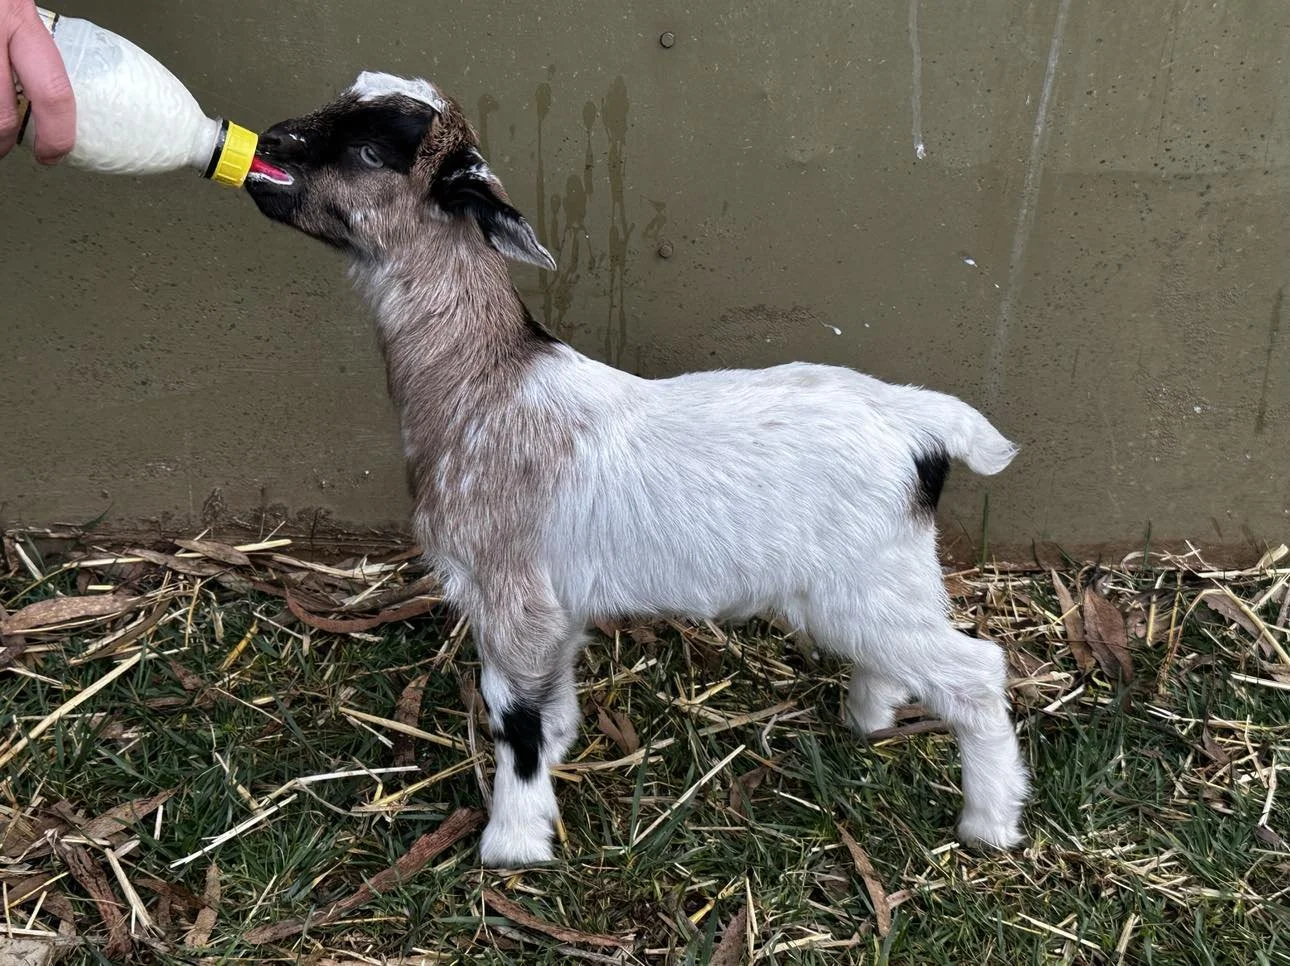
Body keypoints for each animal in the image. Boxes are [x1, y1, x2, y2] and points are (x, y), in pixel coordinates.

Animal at [245, 71, 1029, 867]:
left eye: (372, 151)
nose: (268, 142)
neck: (485, 384)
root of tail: (919, 423)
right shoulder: (552, 602)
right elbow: (548, 695)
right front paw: (558, 753)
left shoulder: (511, 590)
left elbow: (513, 714)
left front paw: (513, 841)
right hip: (870, 585)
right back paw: (868, 720)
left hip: (868, 583)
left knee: (977, 673)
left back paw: (990, 824)